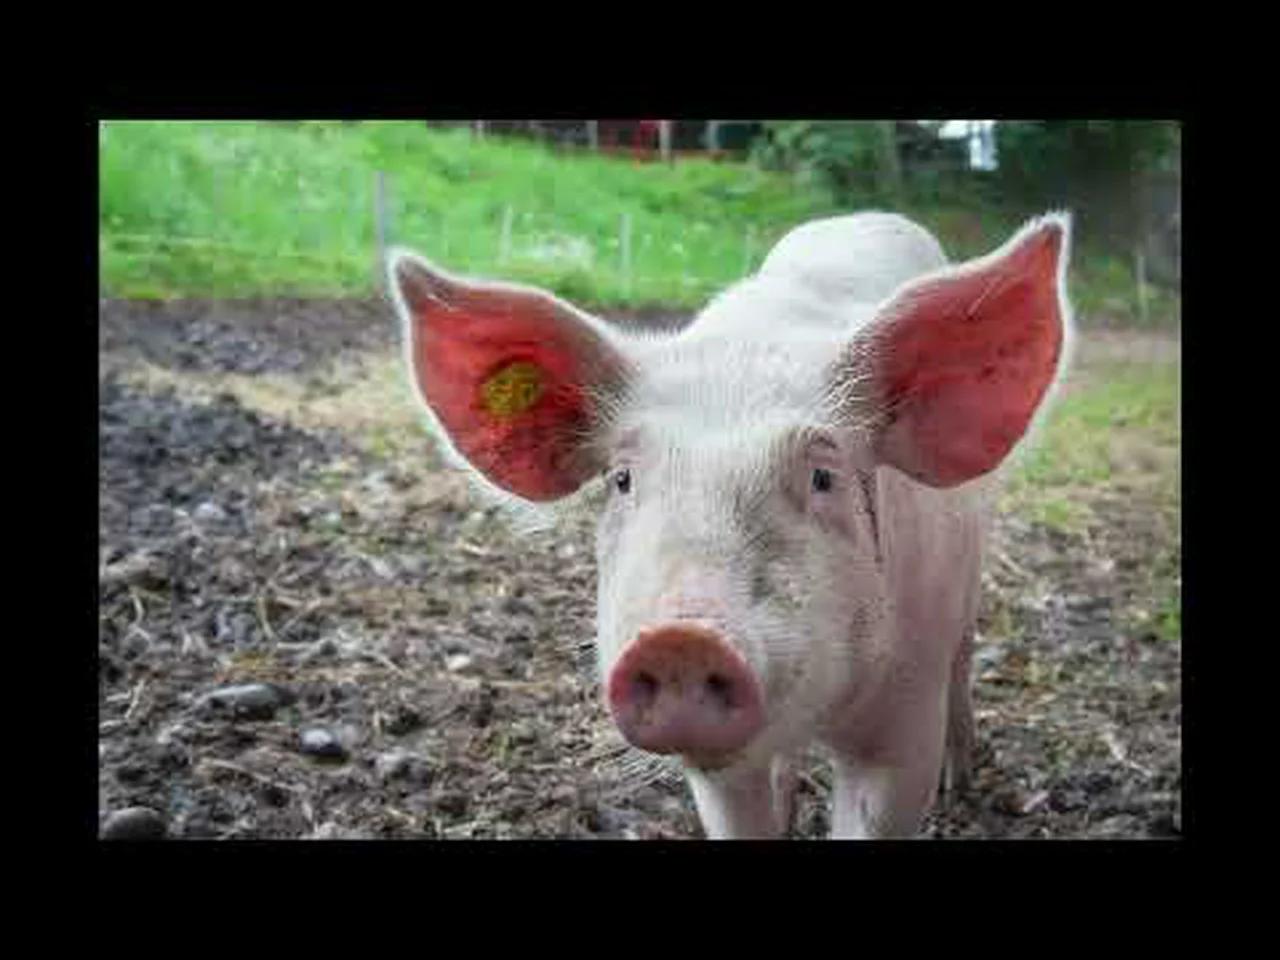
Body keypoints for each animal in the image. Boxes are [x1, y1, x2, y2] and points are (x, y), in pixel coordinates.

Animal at [386, 210, 1072, 838]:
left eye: (824, 477)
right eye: (622, 479)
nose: (682, 640)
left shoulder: (903, 728)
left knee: (964, 655)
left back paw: (964, 778)